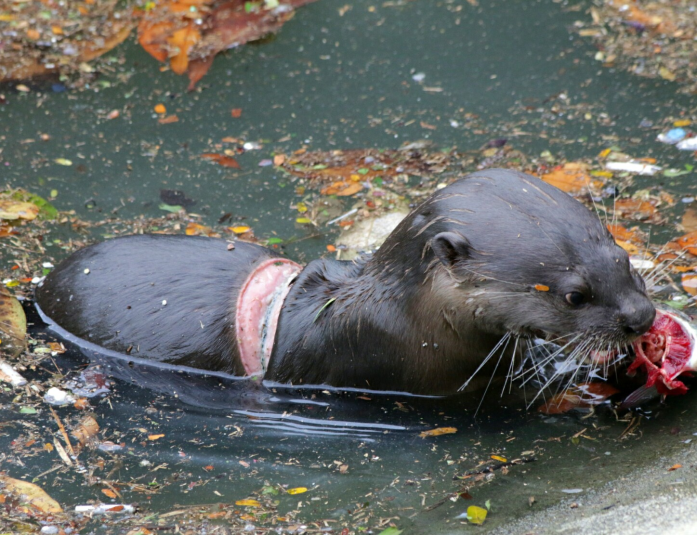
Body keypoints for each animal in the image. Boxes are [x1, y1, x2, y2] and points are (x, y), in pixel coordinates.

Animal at [35, 169, 655, 395]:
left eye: (624, 259)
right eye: (575, 295)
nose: (641, 317)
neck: (403, 319)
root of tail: (39, 289)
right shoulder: (422, 370)